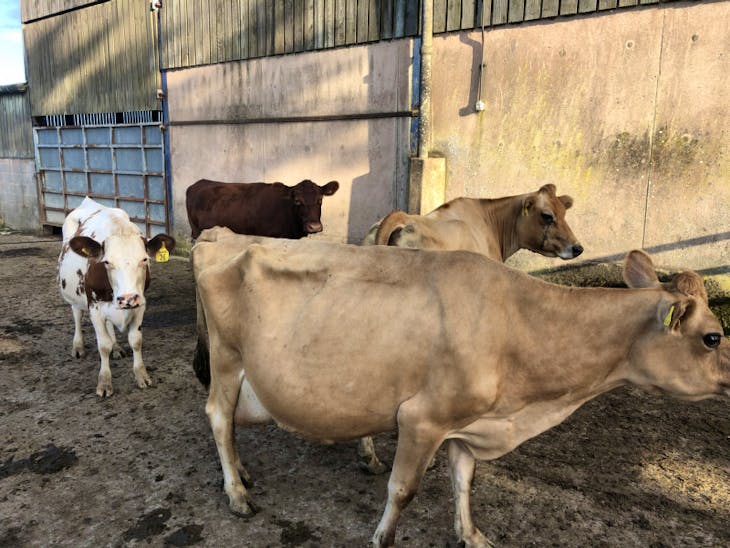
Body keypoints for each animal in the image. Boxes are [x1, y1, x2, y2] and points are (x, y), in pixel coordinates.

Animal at [58, 197, 175, 397]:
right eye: (106, 262)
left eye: (144, 259)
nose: (128, 298)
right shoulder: (94, 306)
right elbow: (103, 345)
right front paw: (105, 382)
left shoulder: (140, 303)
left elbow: (136, 340)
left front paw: (141, 376)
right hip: (75, 293)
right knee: (77, 314)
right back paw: (78, 346)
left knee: (109, 324)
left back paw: (117, 348)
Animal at [192, 228, 729, 547]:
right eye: (712, 337)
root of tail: (220, 237)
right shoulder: (421, 418)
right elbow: (403, 489)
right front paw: (382, 538)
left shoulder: (468, 422)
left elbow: (464, 481)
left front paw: (470, 535)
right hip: (227, 358)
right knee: (218, 417)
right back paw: (236, 493)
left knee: (230, 424)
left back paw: (243, 473)